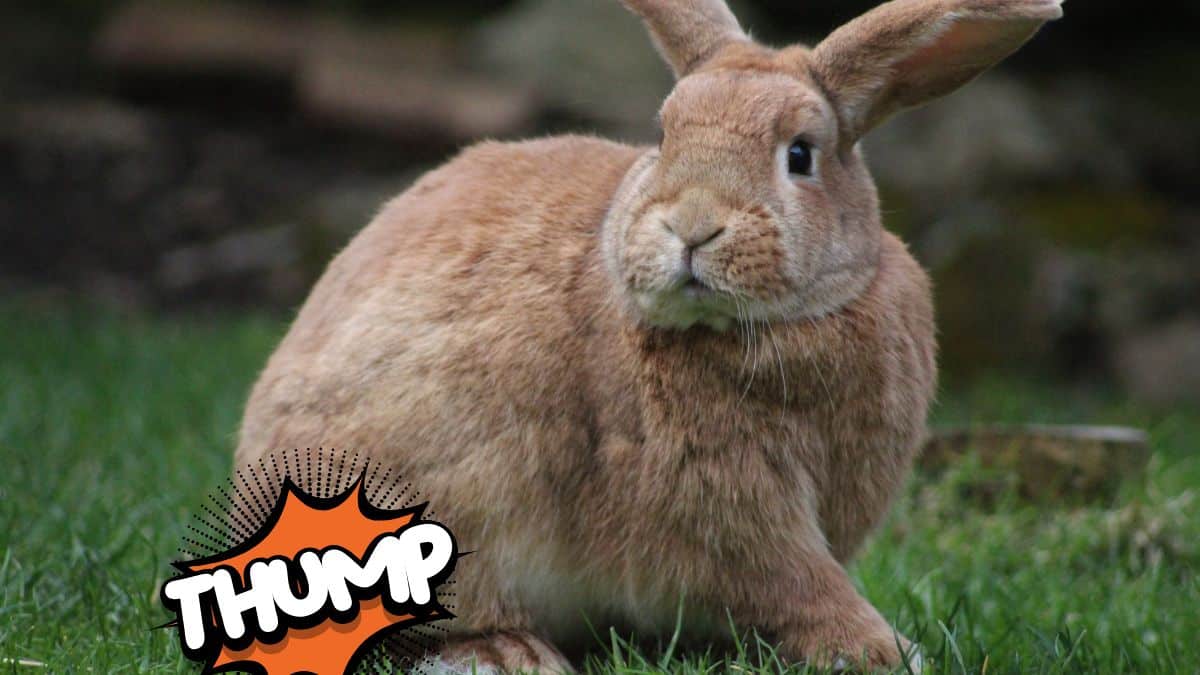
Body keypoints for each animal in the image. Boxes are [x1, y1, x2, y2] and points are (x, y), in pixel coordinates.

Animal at [235, 0, 1062, 671]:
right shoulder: (728, 506)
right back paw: (508, 653)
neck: (768, 327)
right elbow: (797, 580)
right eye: (664, 138)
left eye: (800, 154)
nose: (692, 226)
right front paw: (883, 649)